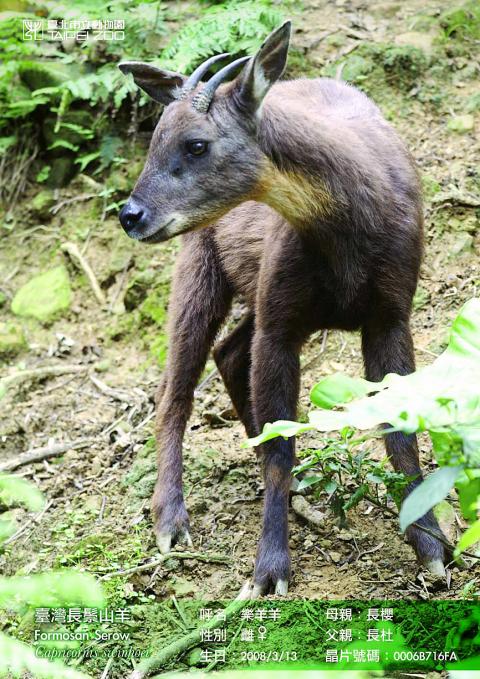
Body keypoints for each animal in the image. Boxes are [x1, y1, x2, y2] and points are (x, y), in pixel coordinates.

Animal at [118, 22, 447, 598]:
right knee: (175, 391)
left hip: (259, 293)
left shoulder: (389, 316)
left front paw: (431, 547)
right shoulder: (281, 328)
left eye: (196, 144)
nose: (130, 215)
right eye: (154, 139)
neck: (347, 224)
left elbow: (401, 432)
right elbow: (280, 447)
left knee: (228, 355)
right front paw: (269, 571)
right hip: (201, 271)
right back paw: (170, 521)